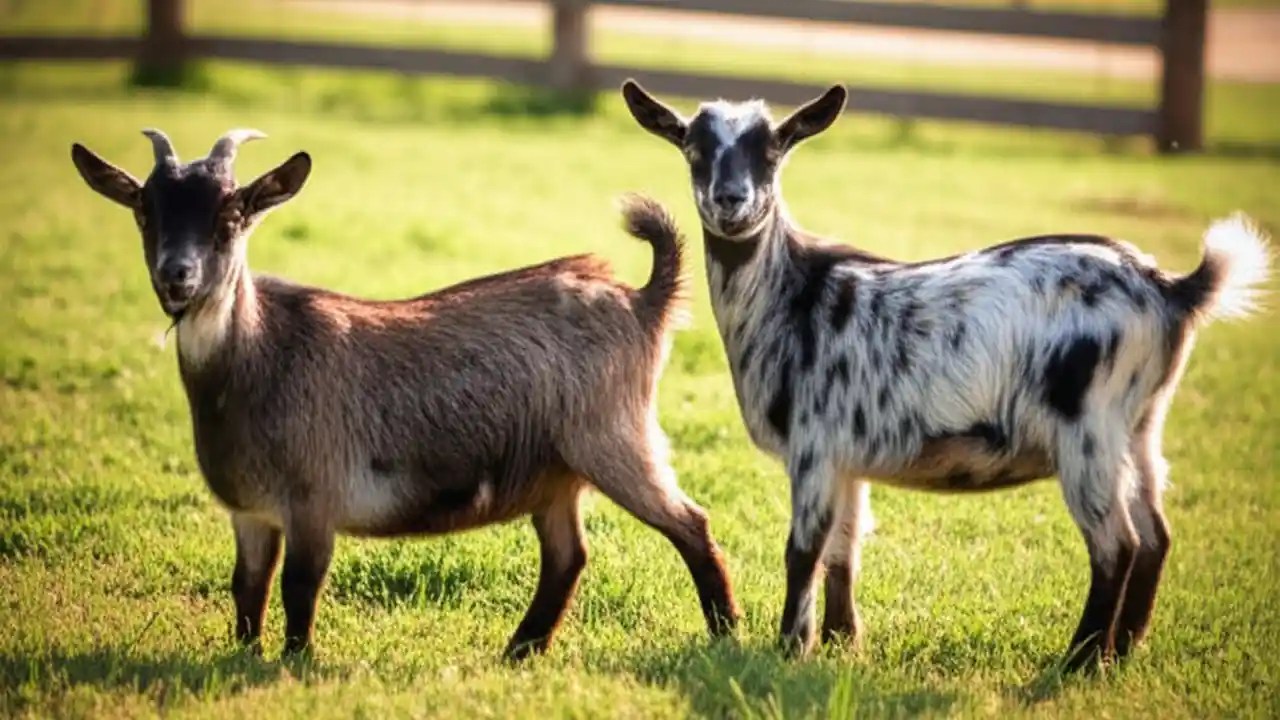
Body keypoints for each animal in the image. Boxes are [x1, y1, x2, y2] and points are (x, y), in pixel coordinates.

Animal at [70, 129, 739, 658]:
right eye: (144, 211)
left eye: (231, 216)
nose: (176, 276)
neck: (260, 356)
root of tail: (642, 301)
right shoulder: (251, 511)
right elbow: (248, 586)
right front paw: (245, 655)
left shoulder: (315, 497)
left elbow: (298, 586)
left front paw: (293, 662)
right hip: (555, 475)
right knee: (567, 557)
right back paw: (518, 652)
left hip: (614, 439)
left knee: (690, 524)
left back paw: (726, 635)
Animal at [621, 80, 1271, 670]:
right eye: (694, 148)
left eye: (773, 149)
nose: (731, 200)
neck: (792, 296)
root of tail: (1171, 288)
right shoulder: (847, 457)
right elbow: (844, 549)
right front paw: (841, 643)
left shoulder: (815, 447)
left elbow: (802, 550)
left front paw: (789, 649)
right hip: (1139, 426)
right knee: (1156, 534)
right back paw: (1126, 652)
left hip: (1088, 427)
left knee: (1118, 544)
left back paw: (1080, 661)